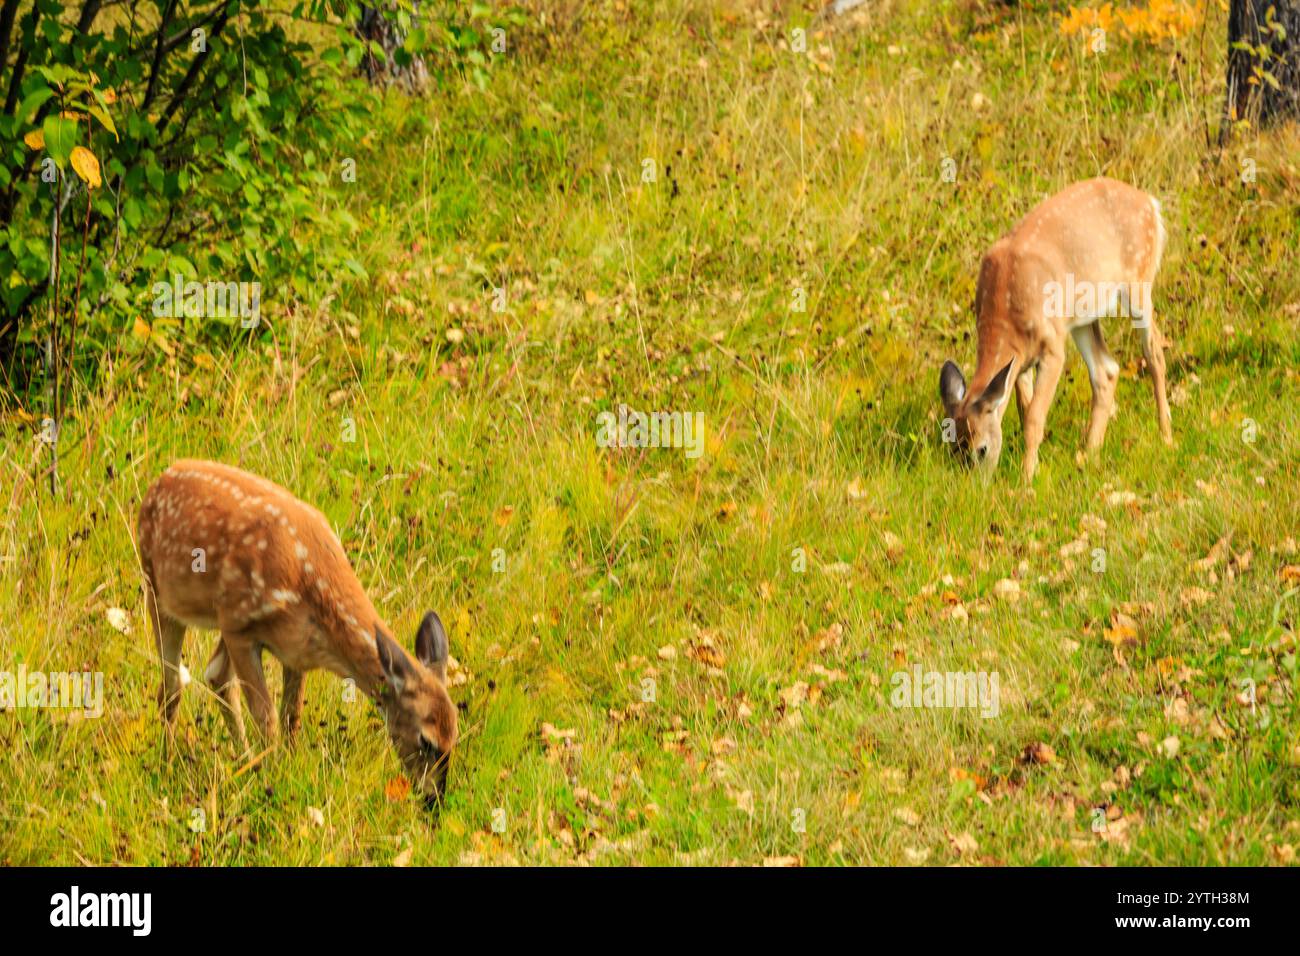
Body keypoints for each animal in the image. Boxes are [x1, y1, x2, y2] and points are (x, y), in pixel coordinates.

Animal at [137, 459, 458, 805]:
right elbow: (266, 716)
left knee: (214, 675)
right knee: (173, 686)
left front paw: (286, 766)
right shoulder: (240, 626)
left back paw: (242, 762)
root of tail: (162, 478)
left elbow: (291, 715)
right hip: (160, 590)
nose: (434, 799)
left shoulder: (295, 653)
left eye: (454, 734)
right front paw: (272, 778)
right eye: (426, 740)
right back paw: (169, 764)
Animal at [939, 177, 1173, 483]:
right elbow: (1024, 410)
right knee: (1106, 370)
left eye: (982, 448)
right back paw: (1089, 453)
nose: (976, 484)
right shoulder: (1020, 361)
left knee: (1154, 351)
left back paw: (1166, 437)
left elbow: (1034, 417)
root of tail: (1150, 203)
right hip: (1082, 318)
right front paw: (1032, 466)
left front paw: (1027, 477)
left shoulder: (1052, 348)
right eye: (954, 447)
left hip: (1139, 280)